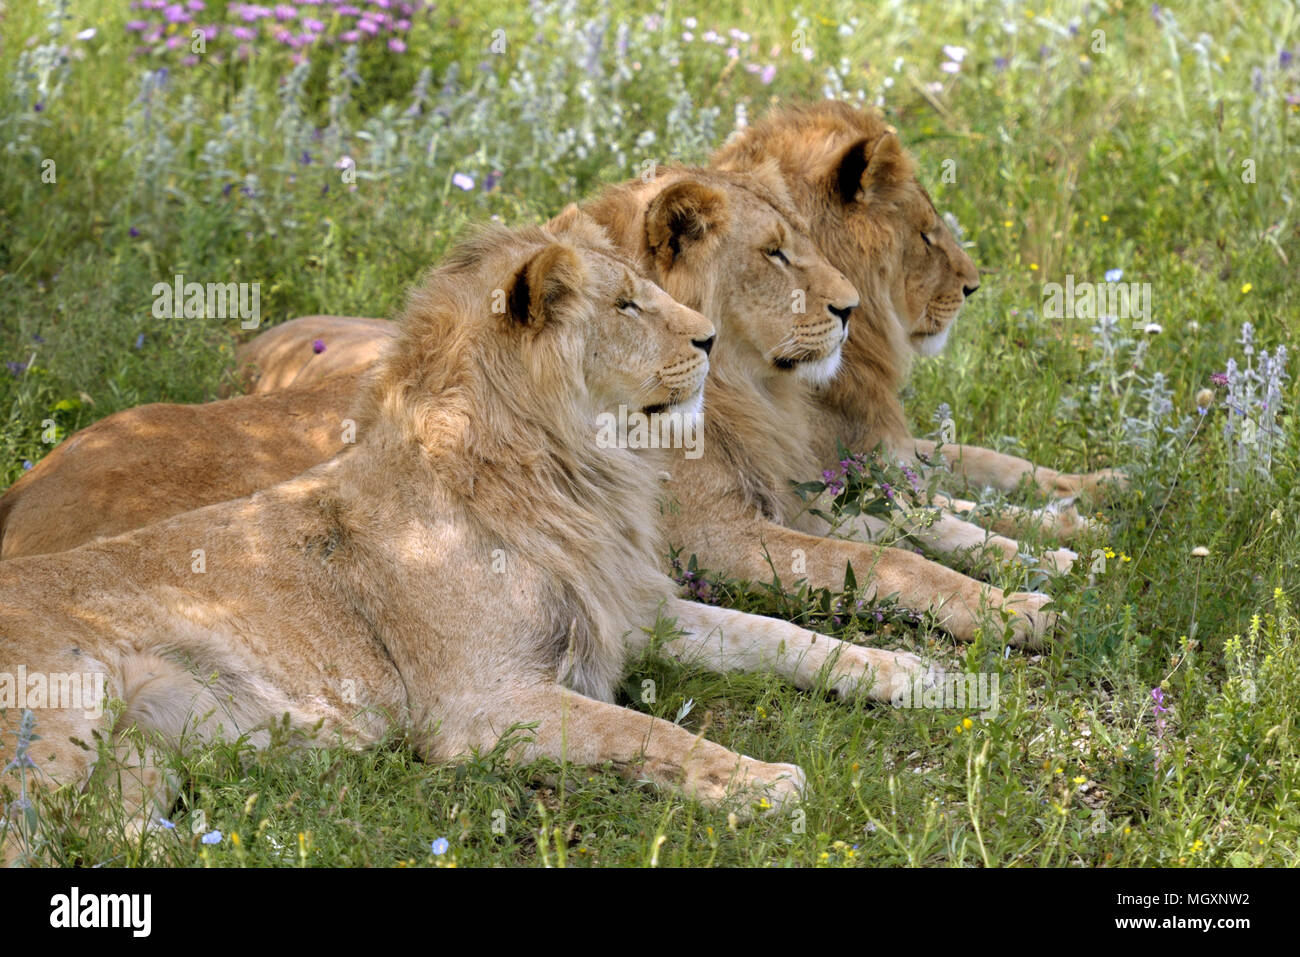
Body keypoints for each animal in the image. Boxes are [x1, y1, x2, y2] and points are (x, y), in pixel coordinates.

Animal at [4, 211, 952, 861]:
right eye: (626, 304)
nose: (712, 340)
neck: (572, 474)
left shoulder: (627, 614)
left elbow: (786, 636)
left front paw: (914, 673)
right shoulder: (480, 702)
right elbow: (645, 732)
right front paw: (764, 782)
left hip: (136, 762)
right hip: (59, 728)